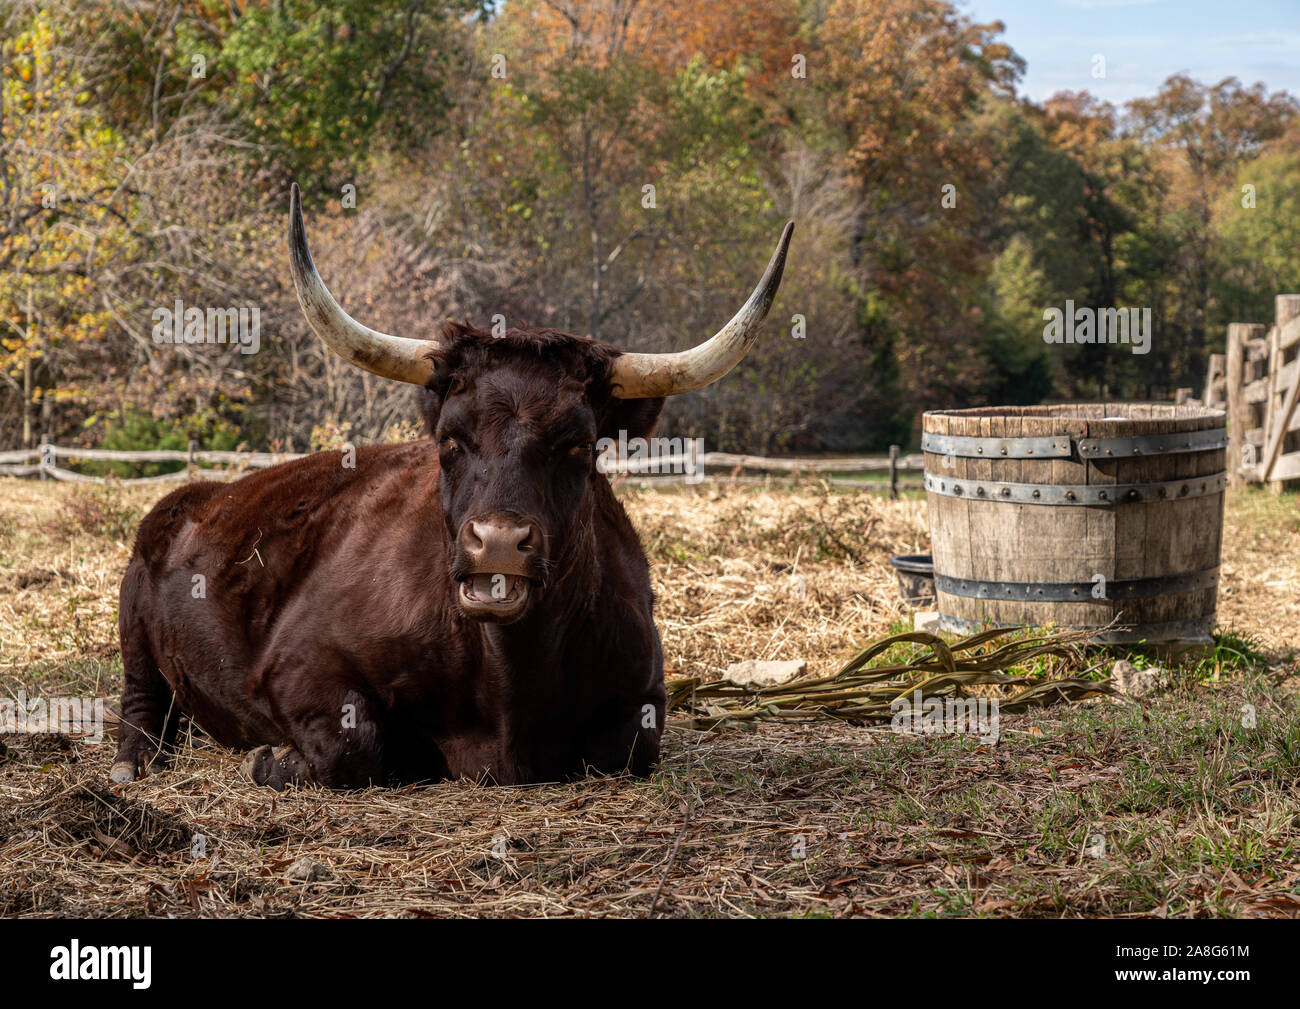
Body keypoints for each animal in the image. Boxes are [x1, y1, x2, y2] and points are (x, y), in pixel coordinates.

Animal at [110, 183, 793, 789]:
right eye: (449, 440)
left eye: (579, 445)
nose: (498, 542)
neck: (507, 682)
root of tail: (196, 495)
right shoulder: (297, 666)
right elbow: (353, 745)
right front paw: (270, 761)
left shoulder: (643, 695)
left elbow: (630, 747)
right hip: (135, 623)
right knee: (141, 703)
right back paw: (133, 763)